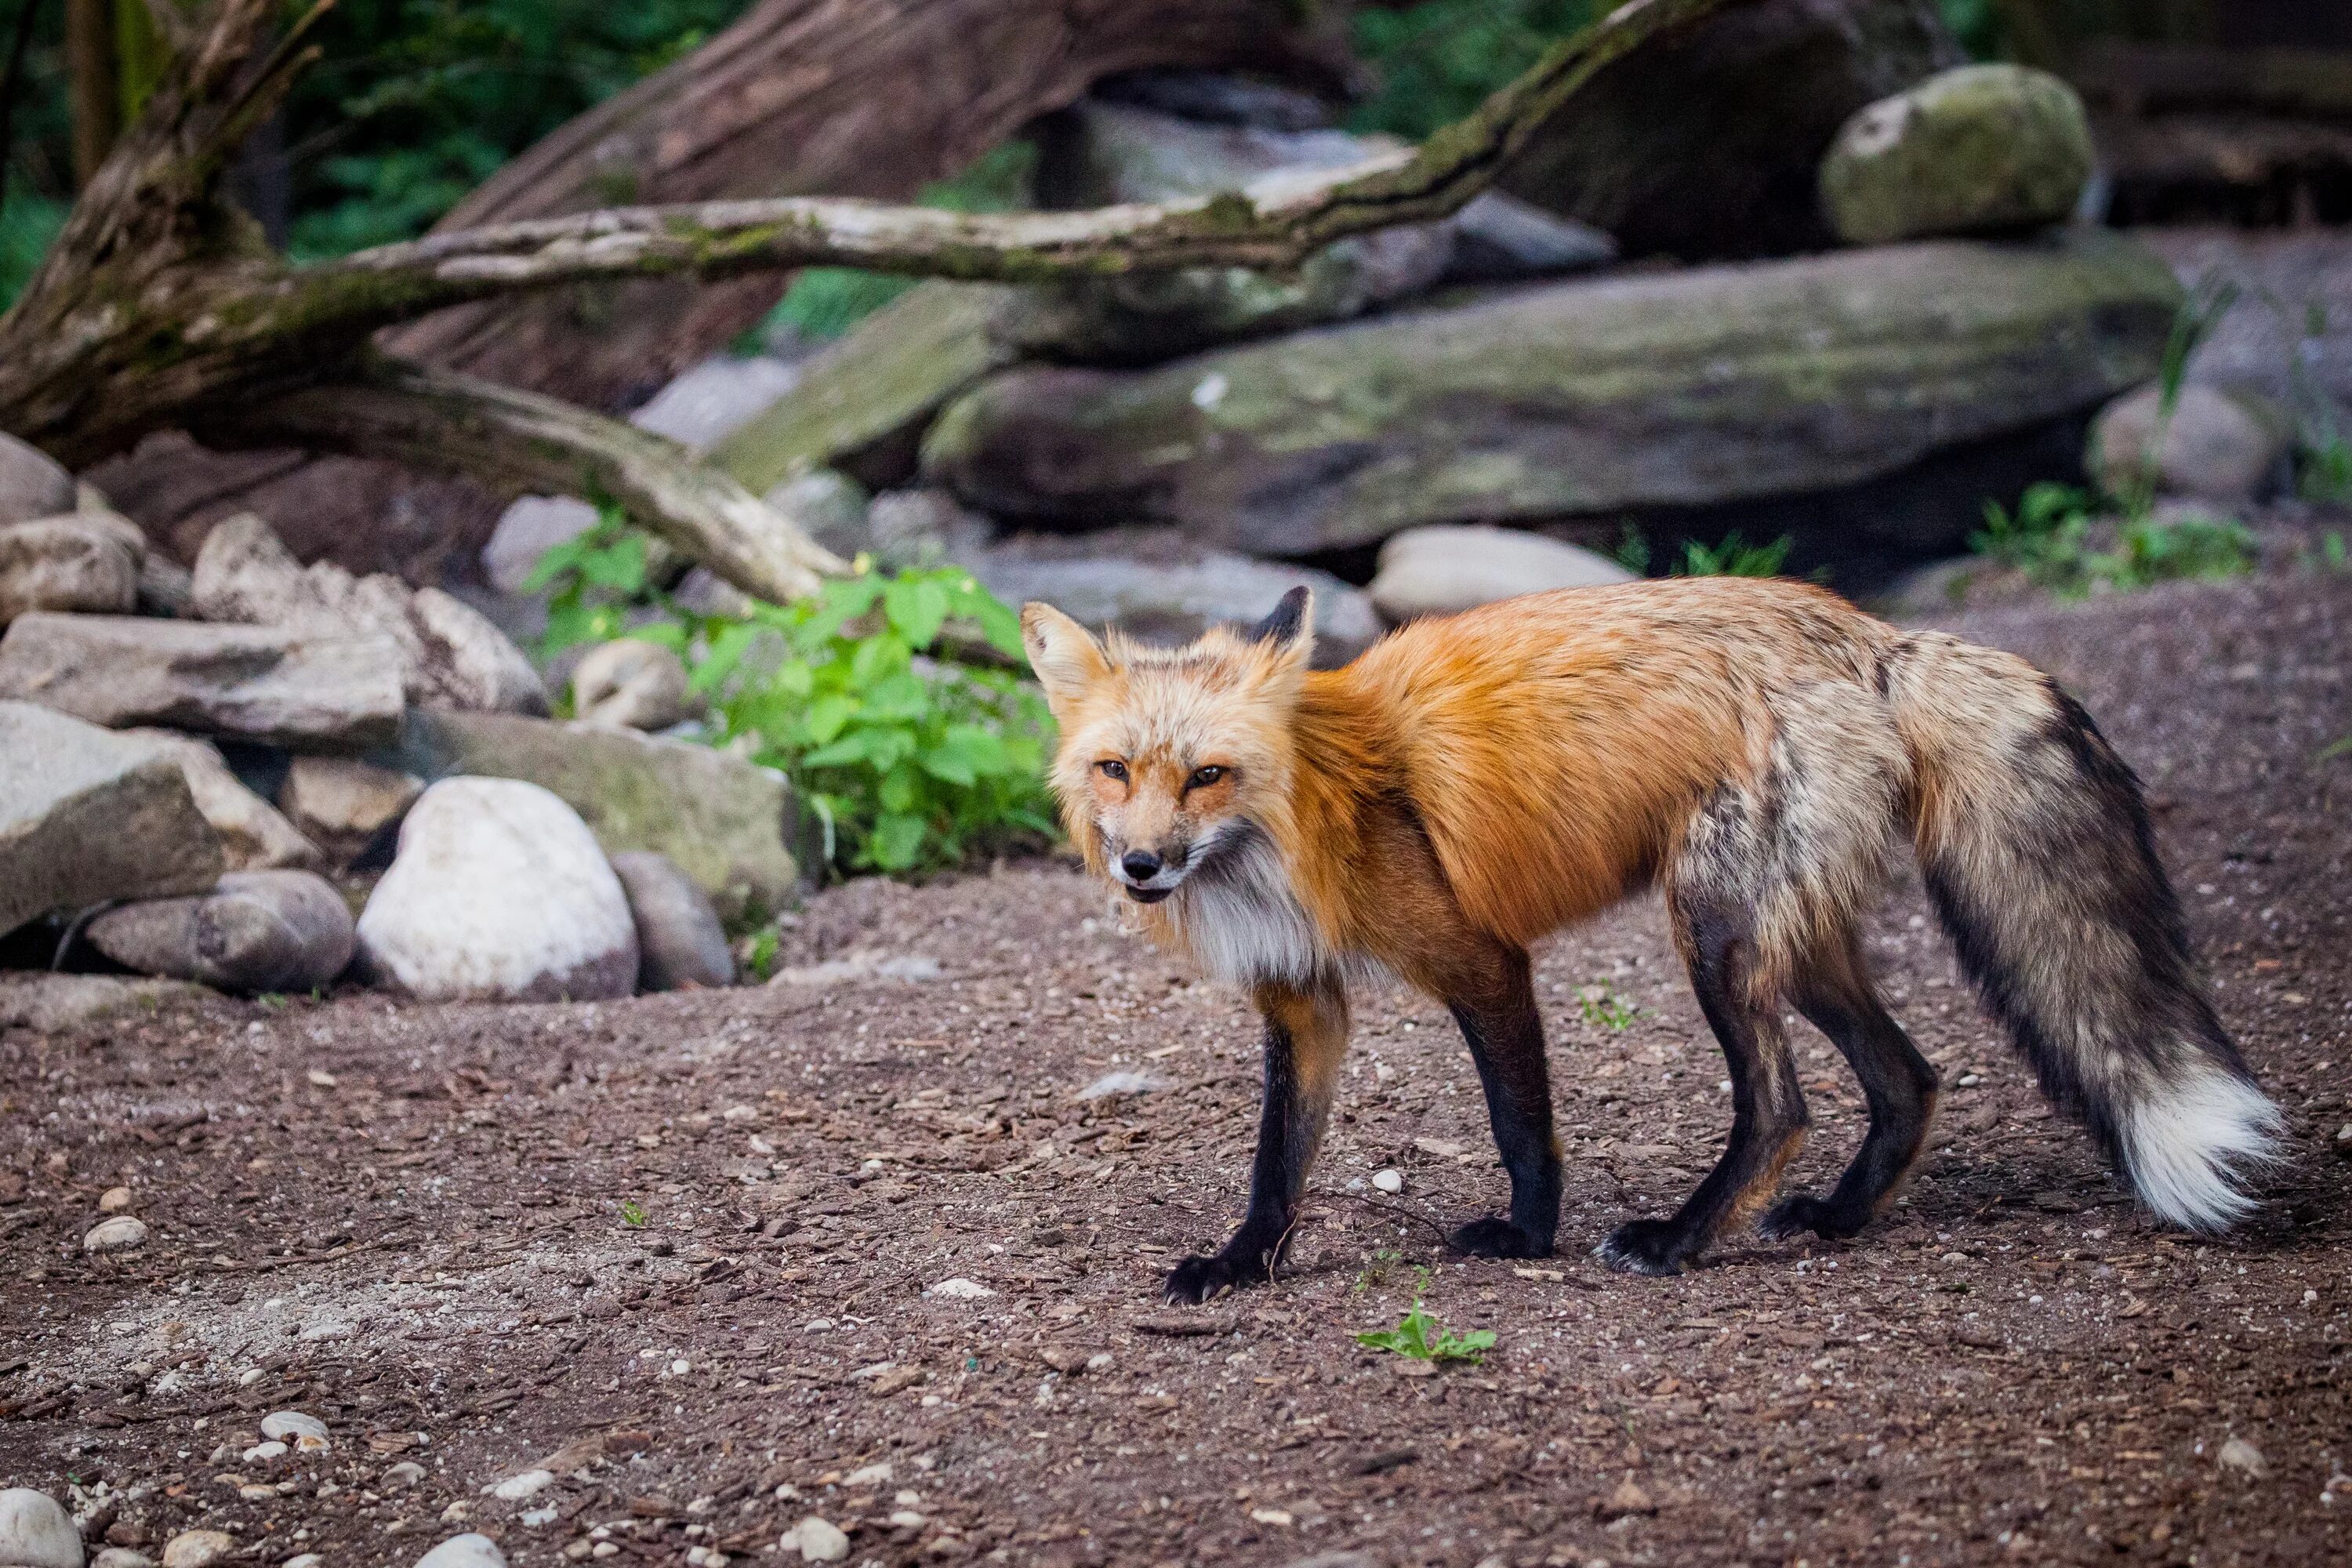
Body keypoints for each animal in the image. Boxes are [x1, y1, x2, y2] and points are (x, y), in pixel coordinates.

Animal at [1025, 575, 2277, 1298]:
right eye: (1116, 770)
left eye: (1207, 774)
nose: (1142, 865)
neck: (1313, 810)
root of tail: (1877, 635)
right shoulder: (1303, 1002)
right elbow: (1277, 1161)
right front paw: (1243, 1266)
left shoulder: (1482, 960)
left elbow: (1521, 1126)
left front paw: (1527, 1239)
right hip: (1793, 946)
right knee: (1911, 1079)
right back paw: (1838, 1218)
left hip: (1714, 934)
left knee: (1782, 1106)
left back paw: (1679, 1241)